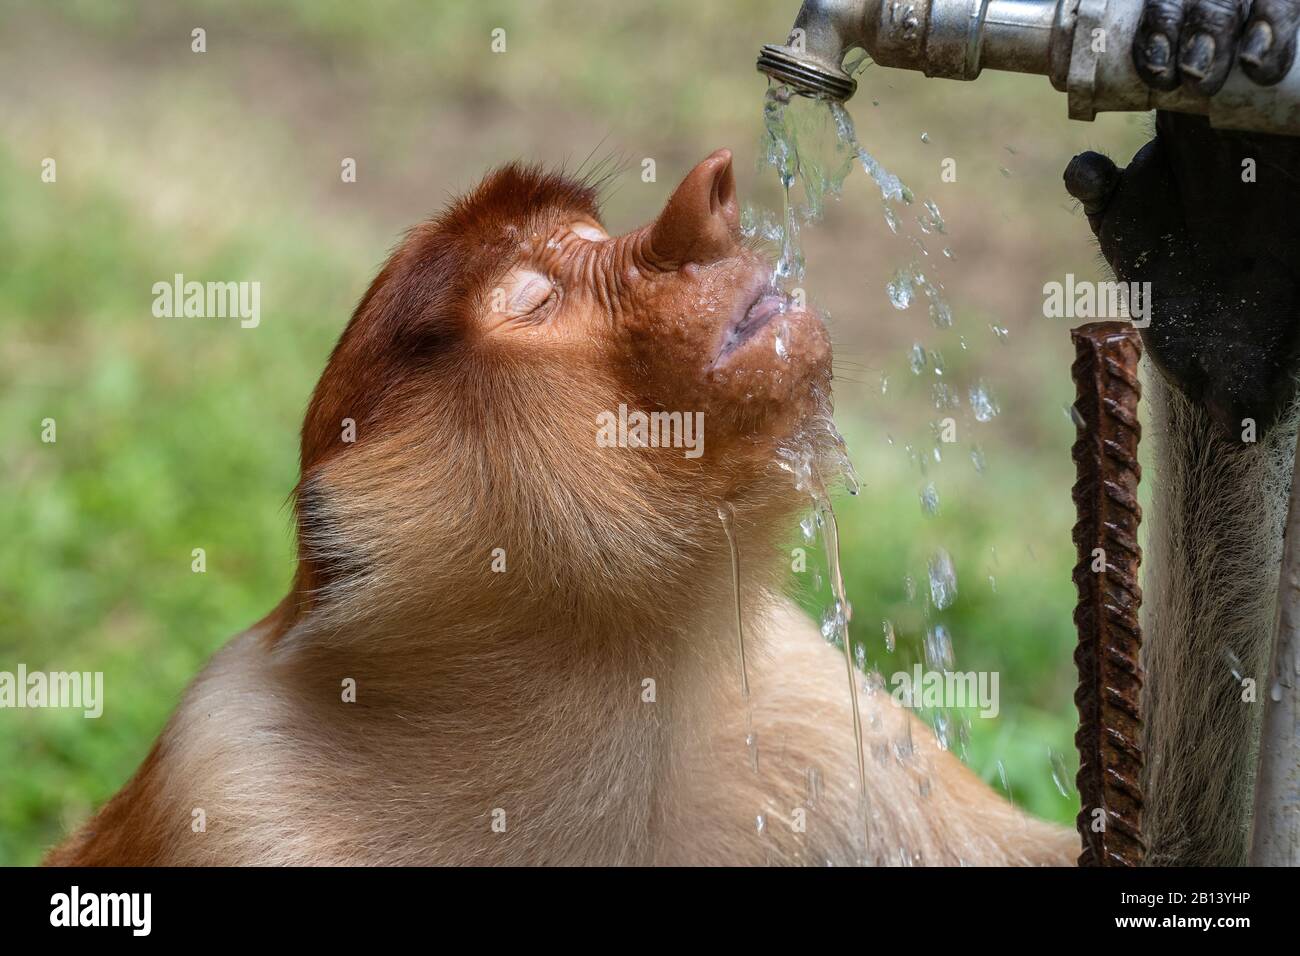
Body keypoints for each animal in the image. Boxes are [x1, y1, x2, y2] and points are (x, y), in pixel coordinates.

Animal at [45, 149, 1076, 866]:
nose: (711, 202)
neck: (592, 693)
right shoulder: (237, 797)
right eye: (533, 297)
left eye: (584, 231)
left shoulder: (801, 700)